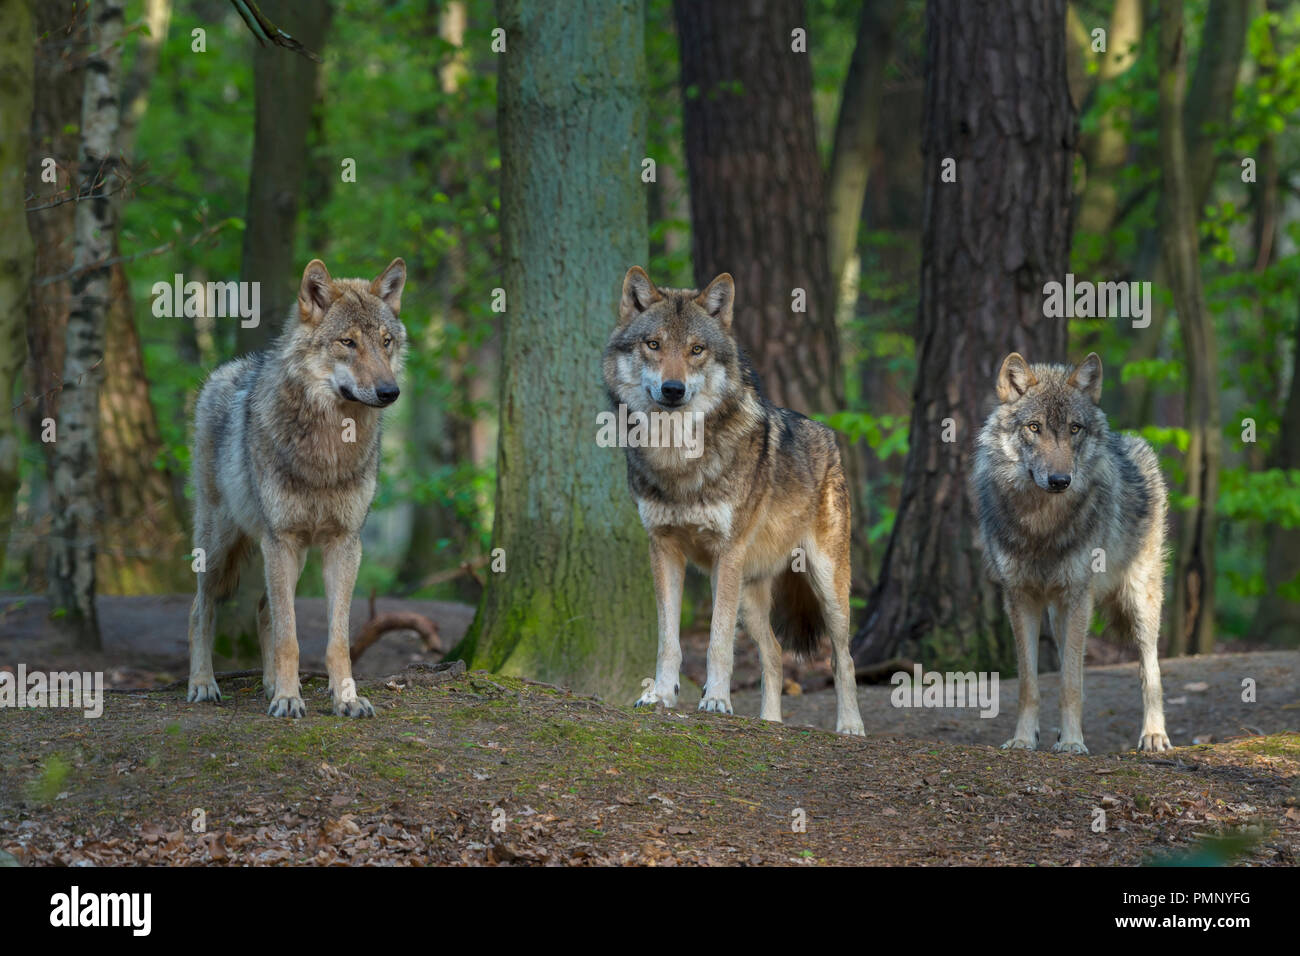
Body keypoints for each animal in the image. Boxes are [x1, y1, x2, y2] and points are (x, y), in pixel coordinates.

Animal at [186, 258, 407, 718]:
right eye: (348, 342)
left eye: (386, 342)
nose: (390, 391)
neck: (328, 450)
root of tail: (225, 370)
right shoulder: (281, 540)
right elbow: (290, 637)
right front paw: (289, 699)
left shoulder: (344, 544)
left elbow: (336, 639)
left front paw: (346, 699)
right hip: (220, 546)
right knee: (200, 608)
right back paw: (203, 684)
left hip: (294, 554)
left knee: (264, 610)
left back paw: (270, 684)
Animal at [602, 266, 865, 735]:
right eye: (654, 345)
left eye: (697, 350)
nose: (673, 389)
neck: (677, 457)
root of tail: (829, 435)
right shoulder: (663, 548)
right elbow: (669, 639)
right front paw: (660, 695)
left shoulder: (726, 553)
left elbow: (718, 641)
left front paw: (717, 700)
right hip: (750, 592)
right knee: (775, 654)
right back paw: (770, 723)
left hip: (826, 584)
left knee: (843, 657)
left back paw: (851, 726)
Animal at [971, 352, 1171, 754]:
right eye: (1034, 427)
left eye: (1075, 428)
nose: (1060, 481)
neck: (1042, 525)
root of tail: (1130, 442)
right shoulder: (1021, 597)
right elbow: (1031, 683)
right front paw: (1023, 738)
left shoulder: (1079, 594)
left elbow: (1070, 684)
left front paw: (1074, 743)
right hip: (1058, 612)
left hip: (1139, 598)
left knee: (1150, 666)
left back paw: (1154, 734)